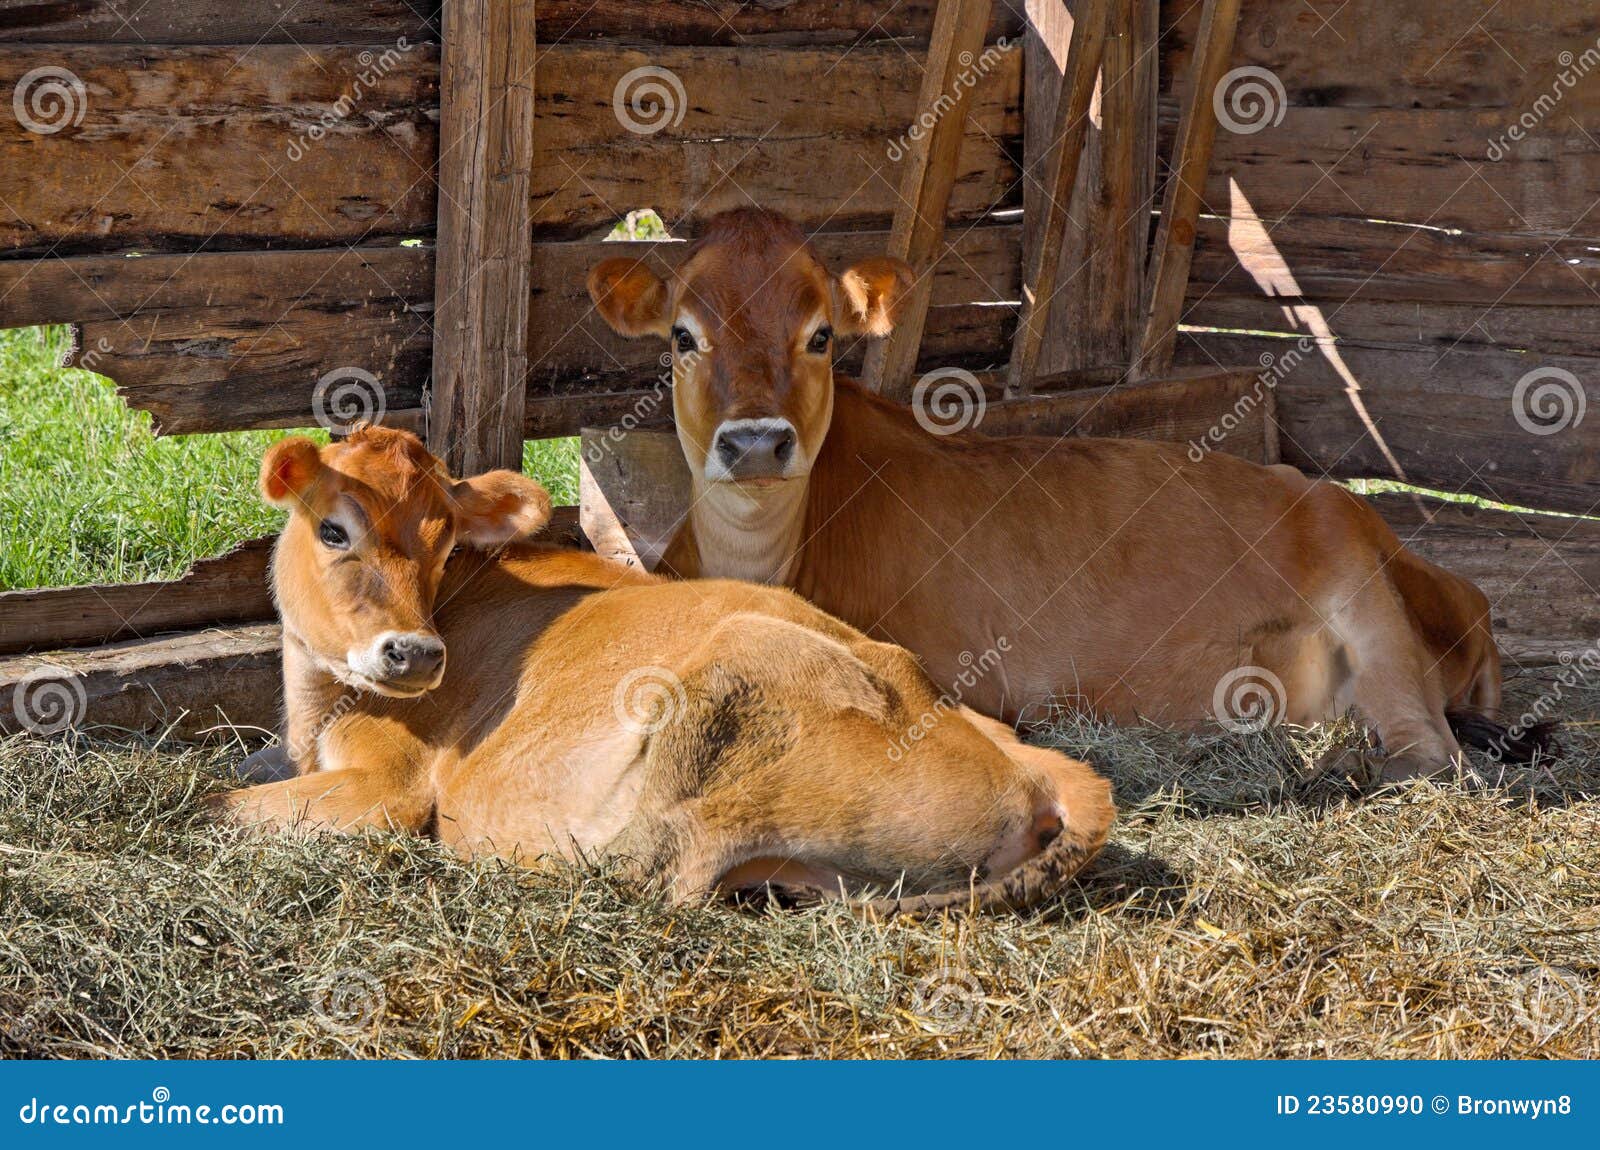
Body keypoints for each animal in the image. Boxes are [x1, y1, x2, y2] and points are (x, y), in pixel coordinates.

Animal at [208, 426, 1114, 912]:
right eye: (334, 528)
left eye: (444, 539)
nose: (416, 652)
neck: (318, 704)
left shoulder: (389, 785)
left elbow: (216, 808)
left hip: (721, 702)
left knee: (659, 873)